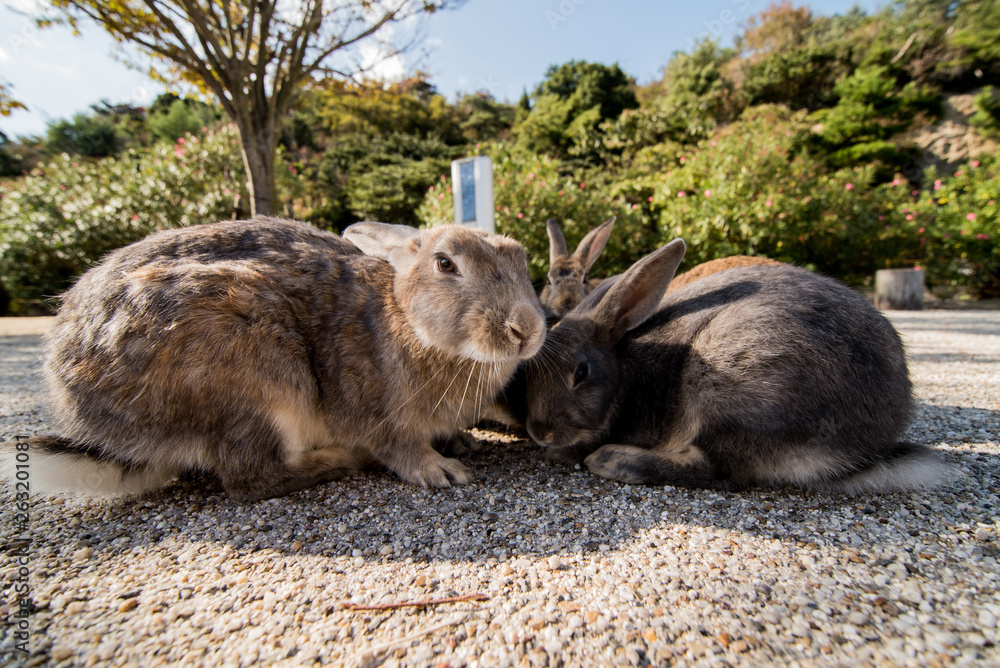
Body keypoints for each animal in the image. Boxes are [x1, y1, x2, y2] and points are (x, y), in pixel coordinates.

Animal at [6, 218, 546, 501]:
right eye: (445, 264)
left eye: (521, 259)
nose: (526, 329)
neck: (407, 319)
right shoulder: (378, 414)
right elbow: (400, 448)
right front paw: (442, 470)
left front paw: (461, 443)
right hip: (260, 382)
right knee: (250, 477)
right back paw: (338, 461)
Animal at [522, 238, 957, 494]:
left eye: (580, 373)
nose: (540, 432)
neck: (627, 371)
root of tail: (867, 448)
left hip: (725, 386)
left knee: (720, 471)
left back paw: (613, 460)